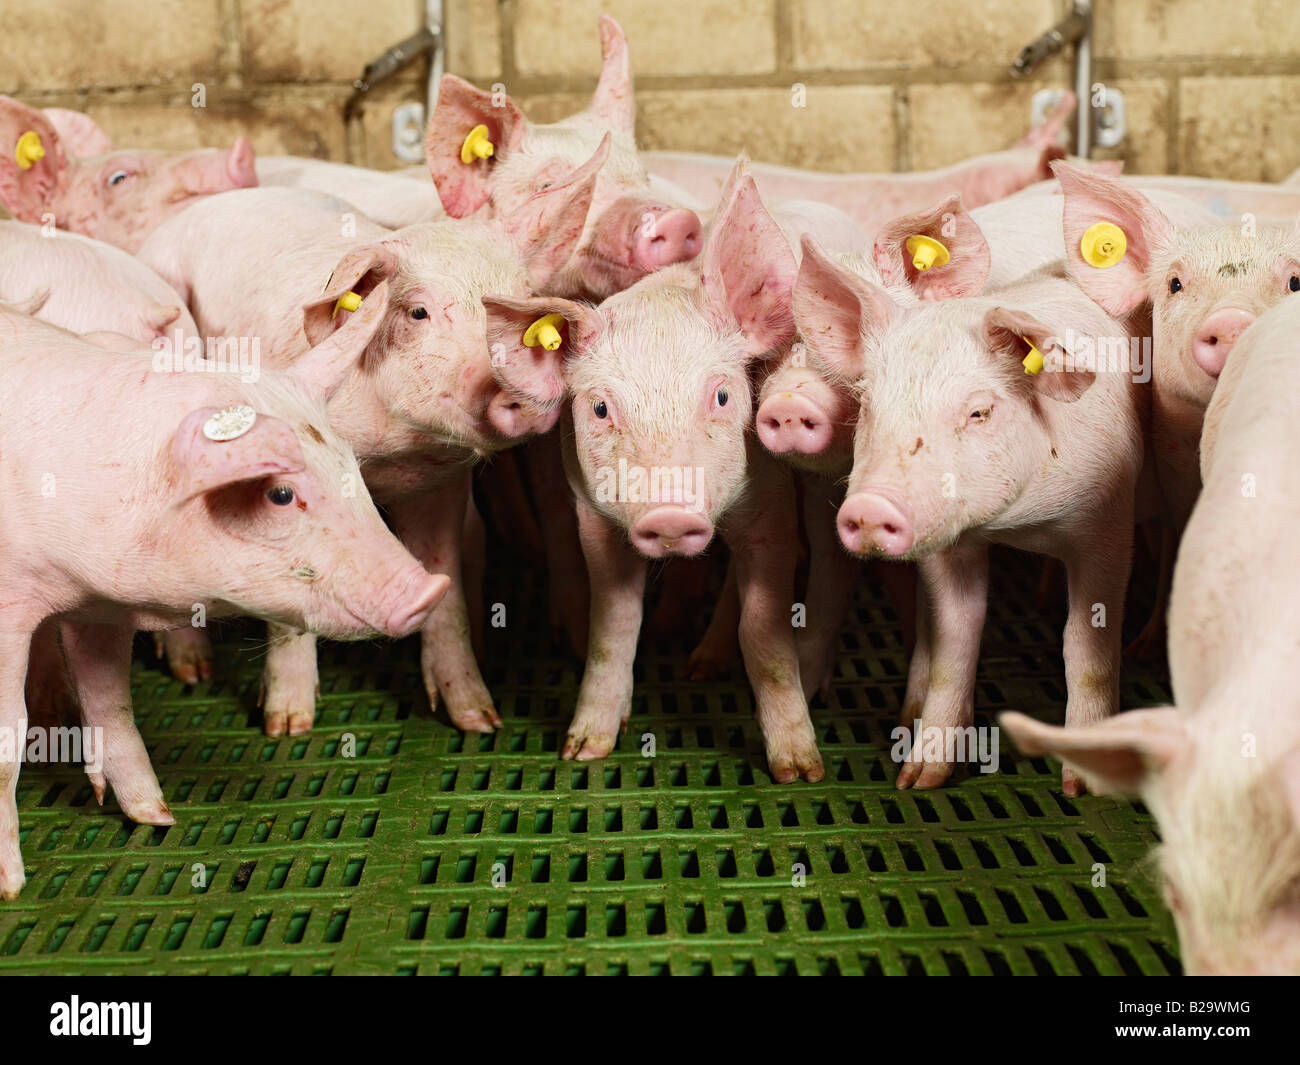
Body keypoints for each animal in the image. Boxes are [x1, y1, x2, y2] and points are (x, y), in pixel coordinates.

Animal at [0, 297, 449, 898]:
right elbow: (8, 734)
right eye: (280, 493)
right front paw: (12, 888)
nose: (430, 588)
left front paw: (158, 818)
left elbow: (111, 699)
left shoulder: (100, 608)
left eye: (352, 472)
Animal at [136, 143, 603, 737]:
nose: (520, 384)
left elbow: (445, 586)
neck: (391, 453)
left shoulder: (440, 485)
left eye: (519, 307)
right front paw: (288, 726)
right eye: (418, 311)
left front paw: (479, 722)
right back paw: (193, 672)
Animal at [483, 160, 823, 782]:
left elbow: (763, 636)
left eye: (721, 395)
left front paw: (799, 772)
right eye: (599, 407)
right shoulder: (592, 514)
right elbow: (613, 627)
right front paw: (581, 751)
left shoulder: (770, 506)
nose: (668, 514)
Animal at [794, 238, 1146, 794]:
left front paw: (1088, 789)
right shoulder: (949, 545)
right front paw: (917, 781)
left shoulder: (1109, 523)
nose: (872, 506)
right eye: (868, 405)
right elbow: (955, 639)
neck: (1023, 528)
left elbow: (1085, 646)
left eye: (979, 412)